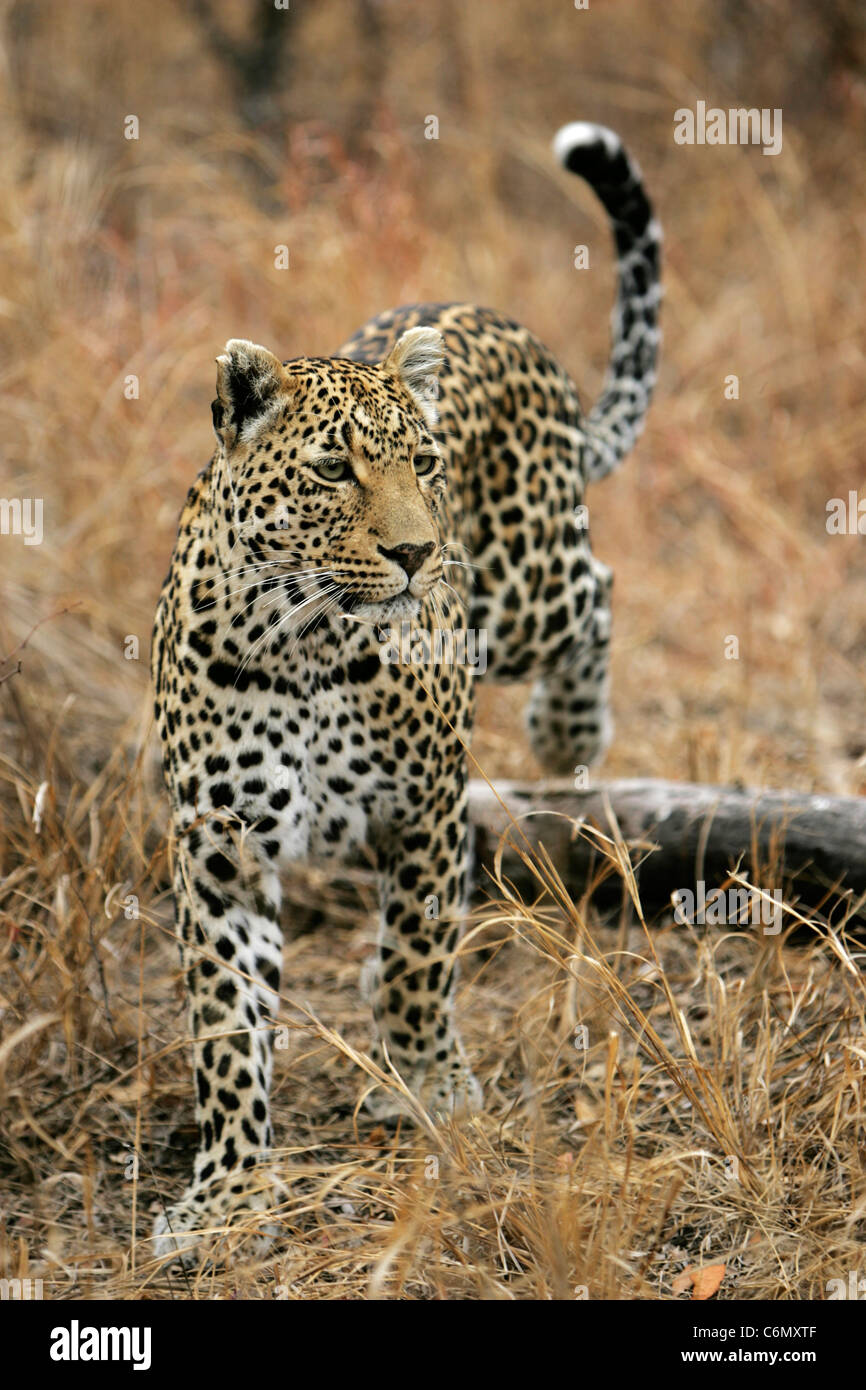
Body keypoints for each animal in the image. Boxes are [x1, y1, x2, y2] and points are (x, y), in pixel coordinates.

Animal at [150, 121, 661, 1260]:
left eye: (422, 462)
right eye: (333, 471)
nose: (420, 554)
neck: (300, 640)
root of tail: (489, 314)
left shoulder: (424, 805)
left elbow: (421, 957)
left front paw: (429, 1086)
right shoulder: (217, 843)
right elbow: (225, 1022)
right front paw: (226, 1190)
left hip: (532, 588)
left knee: (600, 589)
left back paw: (570, 732)